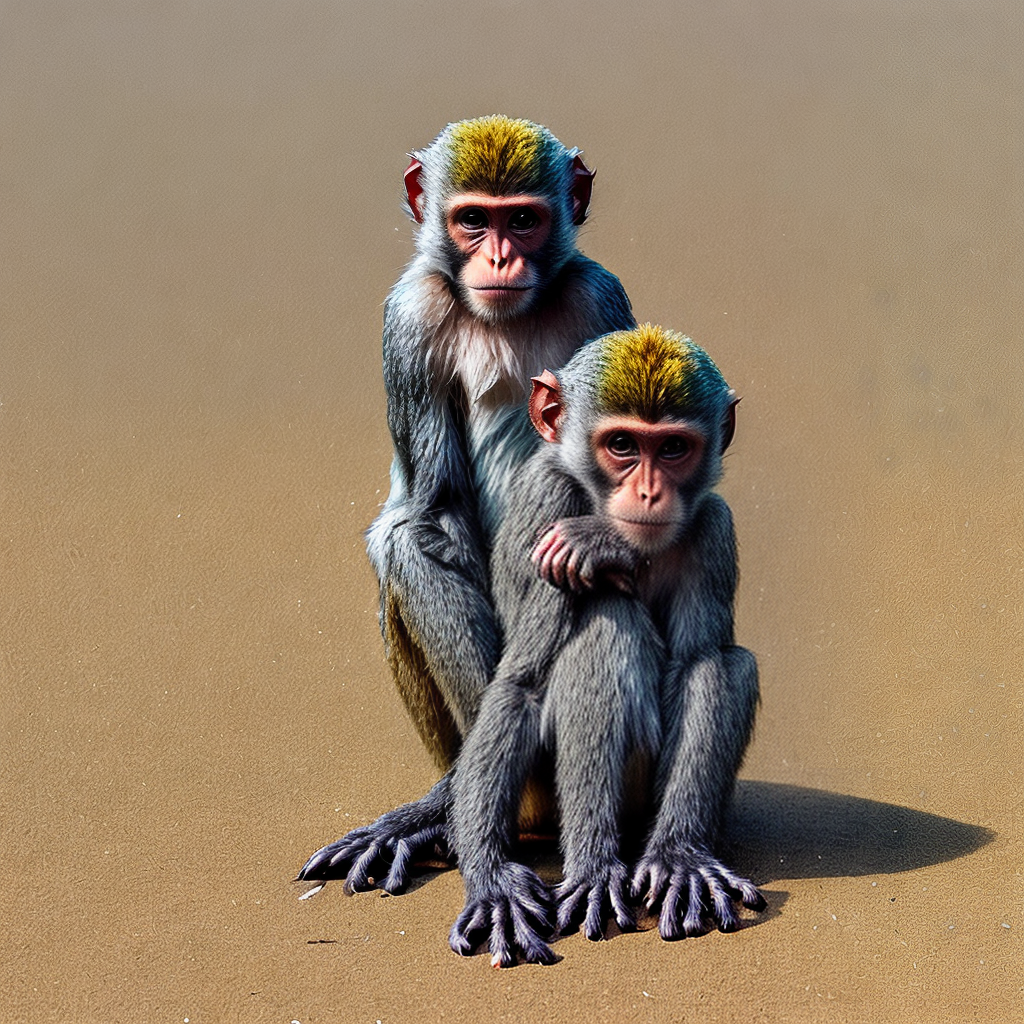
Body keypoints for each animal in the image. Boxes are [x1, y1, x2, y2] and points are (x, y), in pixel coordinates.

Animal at [298, 117, 635, 892]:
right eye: (474, 220)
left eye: (524, 220)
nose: (501, 257)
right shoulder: (409, 316)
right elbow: (434, 511)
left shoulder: (601, 297)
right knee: (402, 537)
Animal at [447, 324, 765, 966]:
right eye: (622, 445)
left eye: (672, 449)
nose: (648, 492)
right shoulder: (545, 501)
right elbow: (523, 682)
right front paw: (493, 879)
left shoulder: (714, 525)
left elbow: (703, 666)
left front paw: (680, 856)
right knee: (604, 620)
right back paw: (594, 863)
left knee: (732, 662)